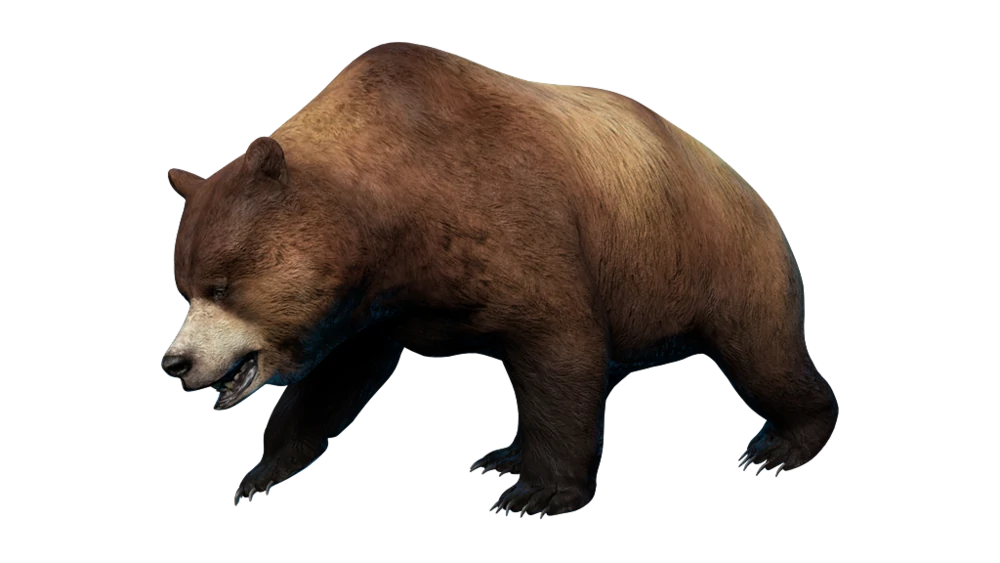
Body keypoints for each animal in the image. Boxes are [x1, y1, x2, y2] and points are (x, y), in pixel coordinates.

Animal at [162, 40, 837, 517]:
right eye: (185, 284)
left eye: (221, 285)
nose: (175, 361)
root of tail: (741, 179)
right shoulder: (374, 304)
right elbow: (329, 382)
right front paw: (259, 475)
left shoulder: (515, 219)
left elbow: (559, 342)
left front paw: (536, 493)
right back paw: (501, 455)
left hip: (711, 253)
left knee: (763, 352)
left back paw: (783, 443)